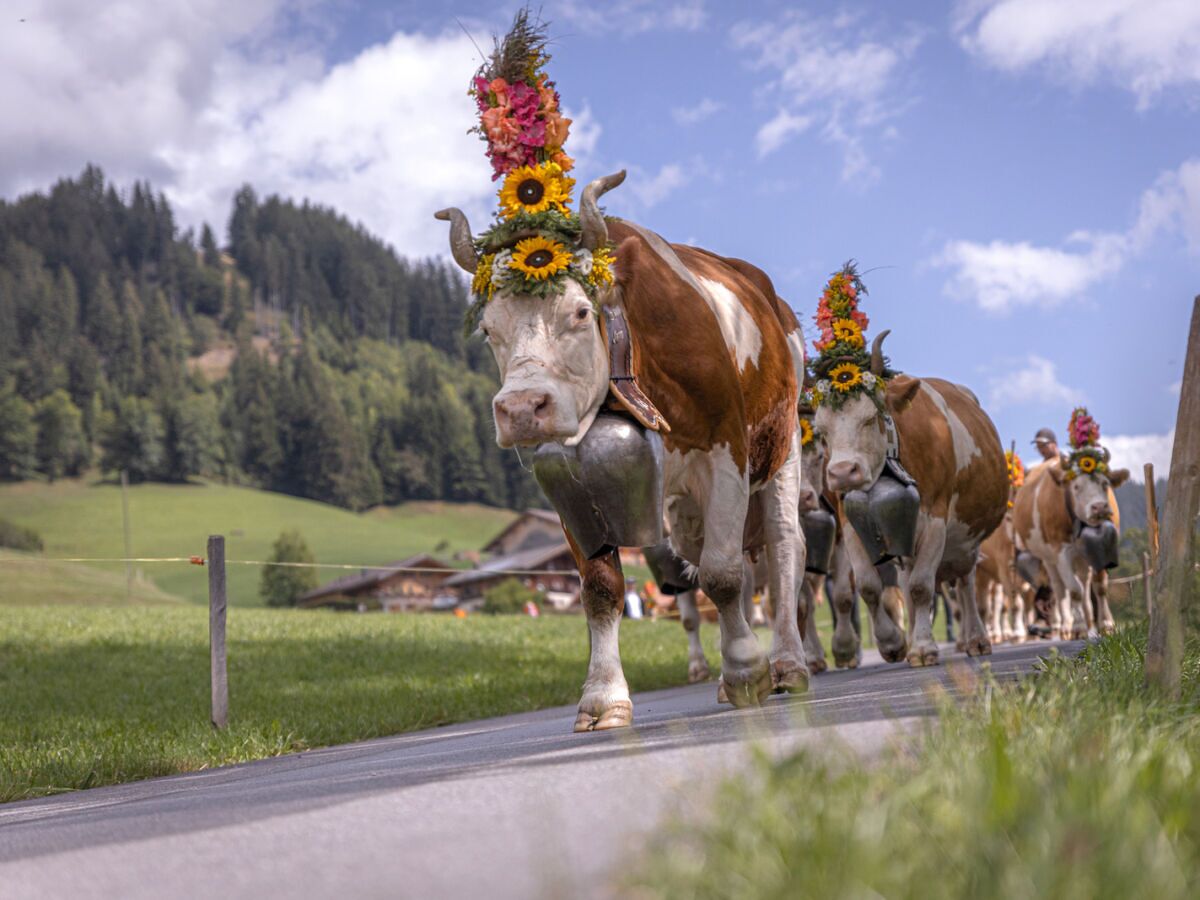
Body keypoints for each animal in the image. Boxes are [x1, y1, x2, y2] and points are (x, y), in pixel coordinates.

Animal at [437, 171, 811, 730]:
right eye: (487, 329)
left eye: (579, 311)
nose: (522, 408)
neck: (632, 352)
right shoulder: (568, 488)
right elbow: (601, 589)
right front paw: (603, 697)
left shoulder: (727, 450)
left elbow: (723, 575)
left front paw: (748, 671)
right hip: (686, 509)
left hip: (782, 449)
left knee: (784, 547)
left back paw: (787, 665)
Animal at [815, 334, 1009, 667]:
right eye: (821, 430)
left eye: (871, 418)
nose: (842, 473)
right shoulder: (850, 525)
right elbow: (869, 586)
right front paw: (892, 642)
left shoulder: (936, 520)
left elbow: (921, 587)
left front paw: (923, 647)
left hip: (967, 539)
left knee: (966, 582)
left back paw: (976, 639)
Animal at [1012, 458, 1129, 638]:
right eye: (1076, 486)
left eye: (1105, 483)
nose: (1099, 507)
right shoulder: (1061, 553)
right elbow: (1074, 590)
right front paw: (1078, 628)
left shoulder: (1102, 548)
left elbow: (1100, 587)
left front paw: (1106, 625)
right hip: (1049, 559)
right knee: (1060, 589)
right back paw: (1066, 626)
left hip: (1081, 559)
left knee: (1085, 586)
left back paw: (1090, 625)